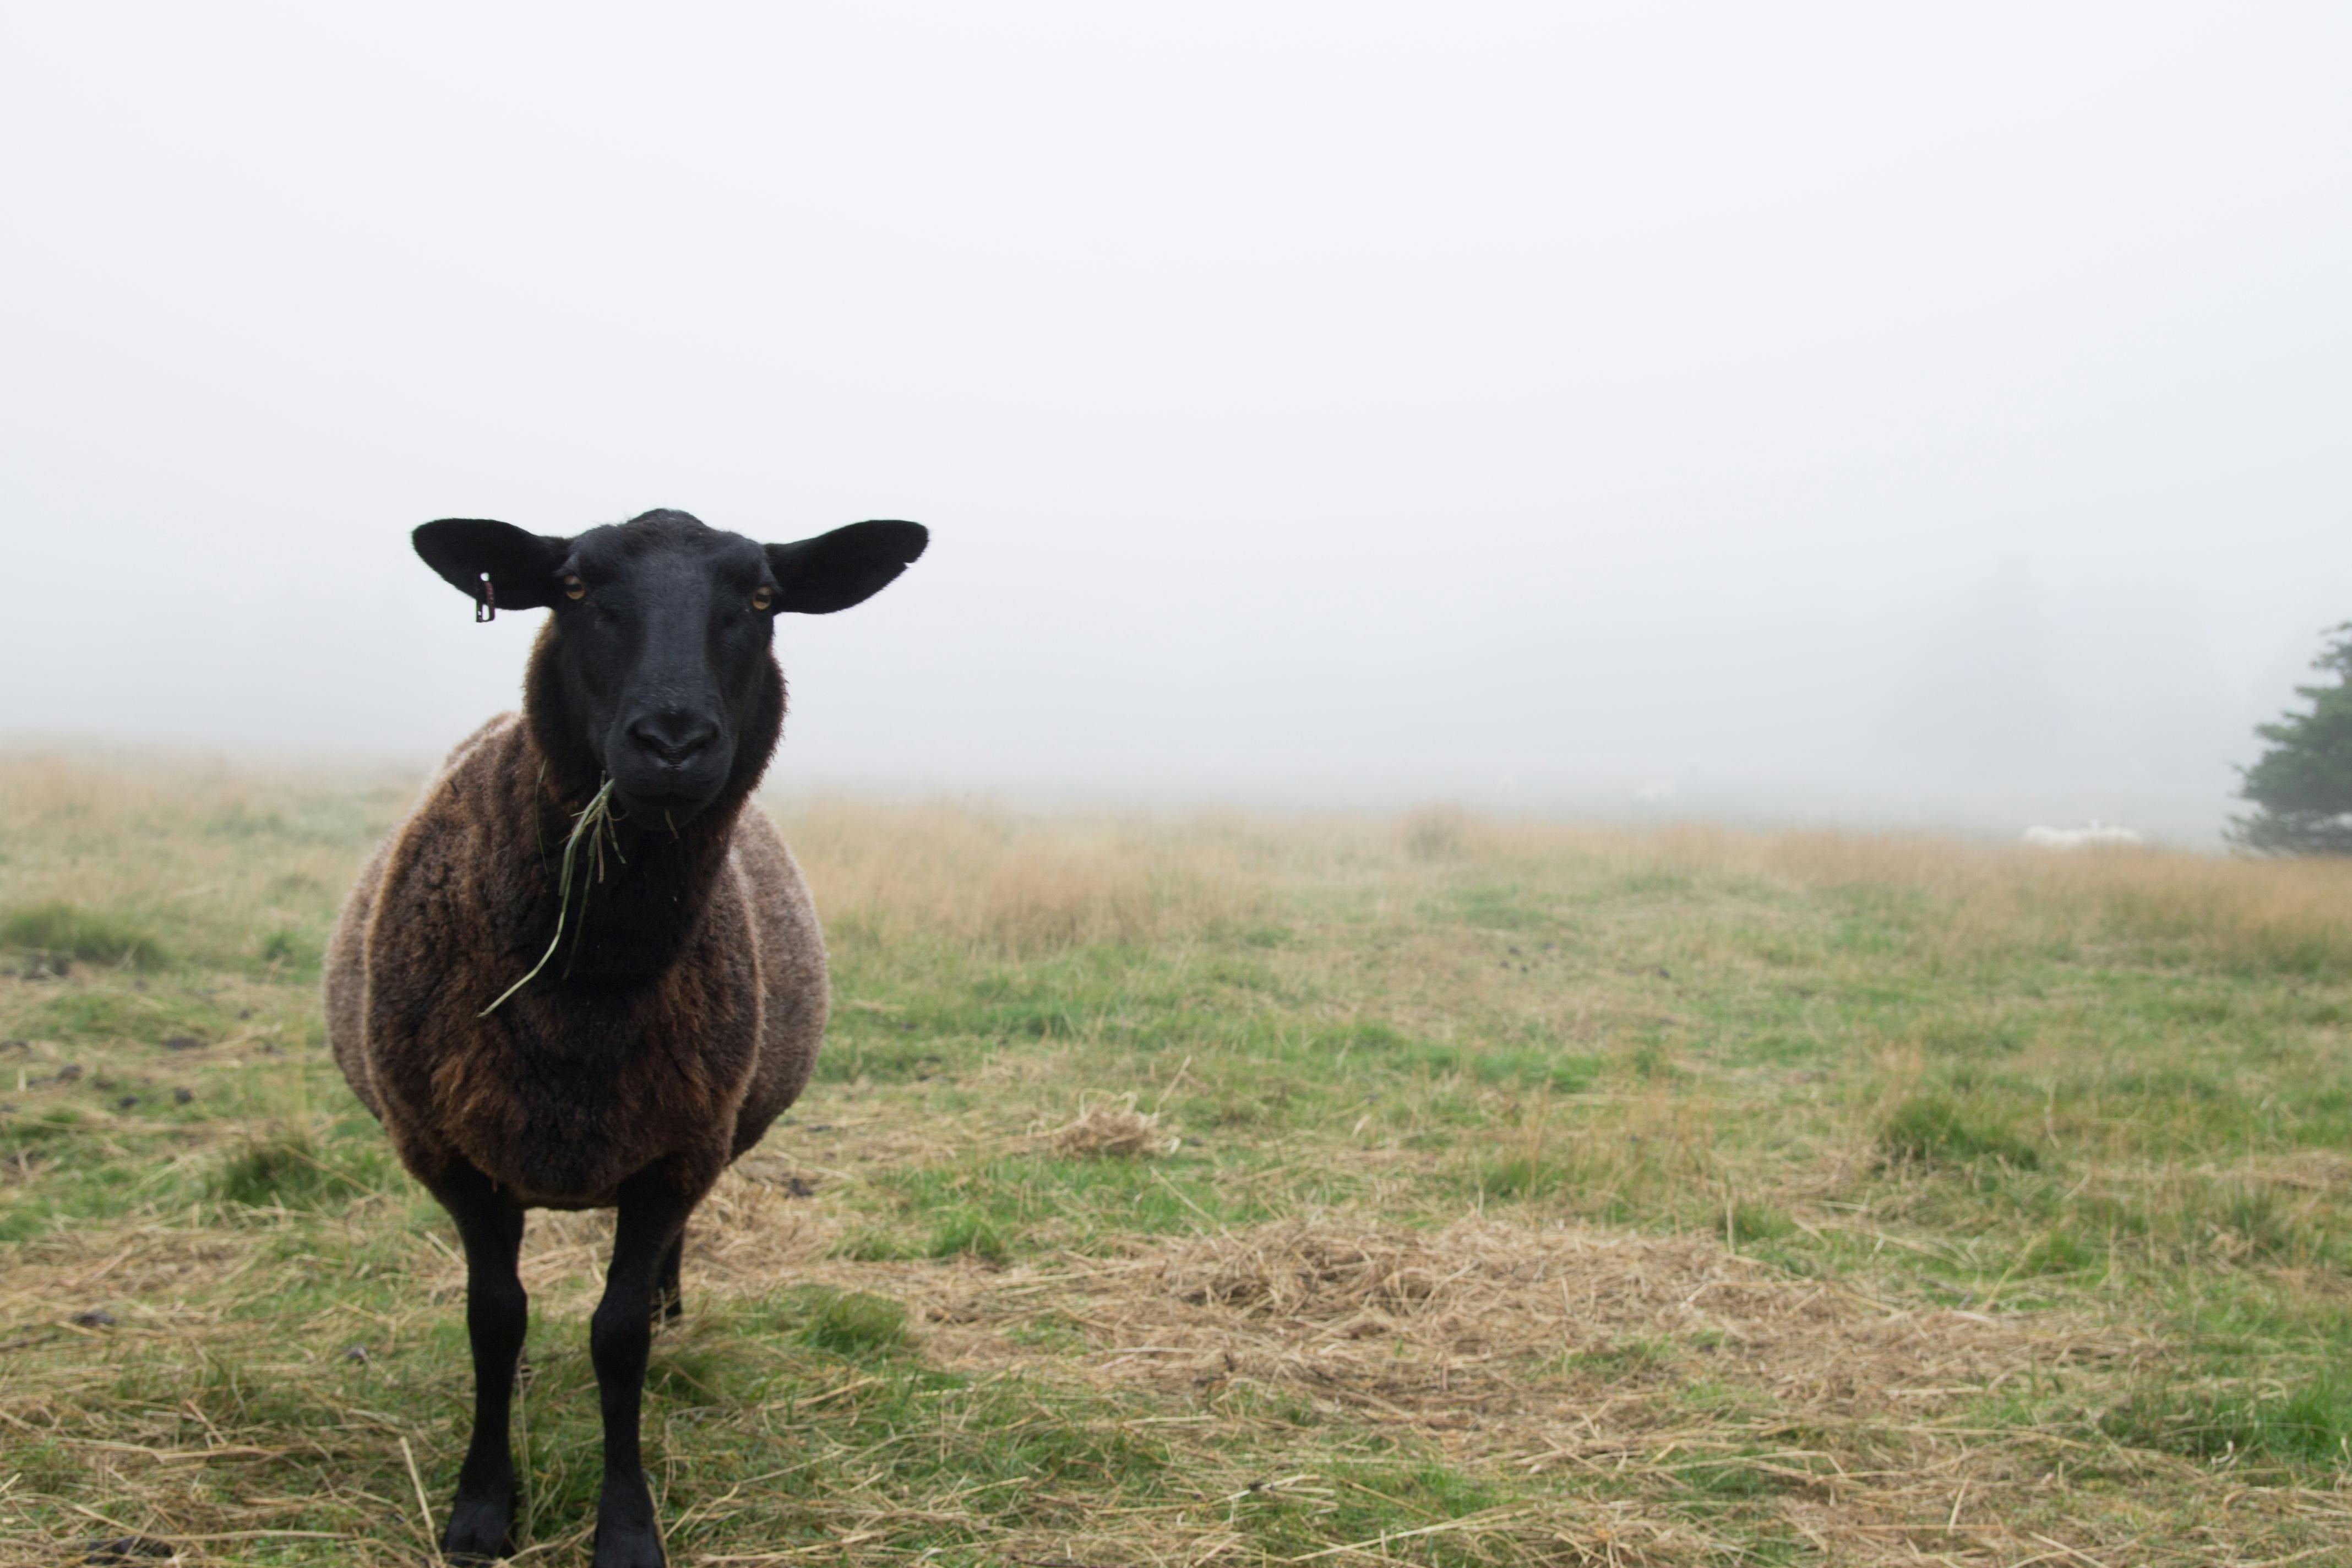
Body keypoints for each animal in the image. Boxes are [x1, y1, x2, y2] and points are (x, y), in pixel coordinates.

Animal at [325, 508, 925, 1567]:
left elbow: (617, 1338)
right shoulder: (454, 1154)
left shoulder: (674, 1153)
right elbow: (494, 1318)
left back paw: (668, 1306)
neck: (587, 983)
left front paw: (628, 1524)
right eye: (572, 588)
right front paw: (481, 1508)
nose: (673, 741)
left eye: (761, 598)